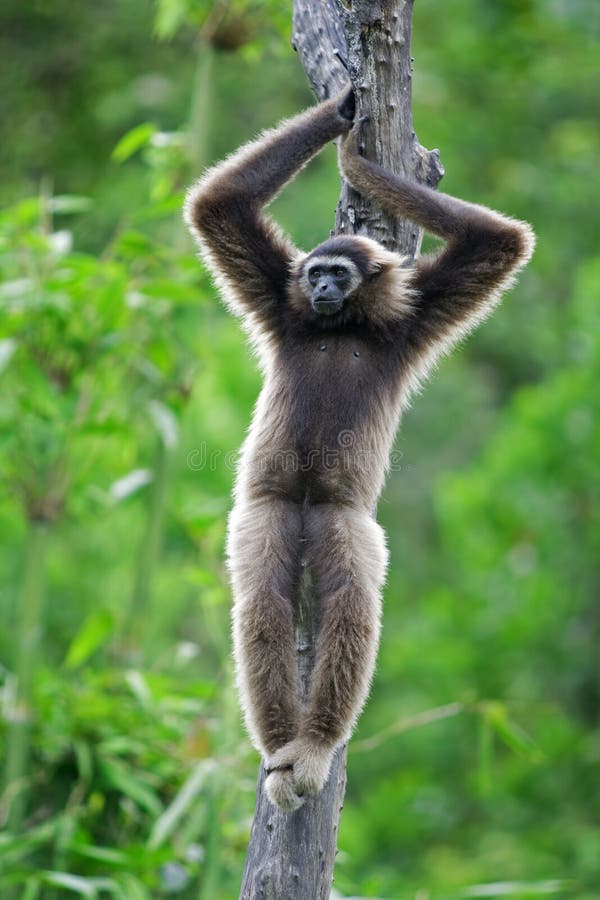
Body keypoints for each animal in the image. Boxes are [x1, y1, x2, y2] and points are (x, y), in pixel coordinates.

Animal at [184, 88, 535, 811]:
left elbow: (500, 242)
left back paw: (313, 746)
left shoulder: (413, 317)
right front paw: (342, 116)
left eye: (338, 275)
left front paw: (351, 151)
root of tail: (308, 510)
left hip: (339, 520)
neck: (343, 324)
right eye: (316, 272)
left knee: (349, 596)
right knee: (263, 600)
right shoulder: (279, 296)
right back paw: (286, 746)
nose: (320, 288)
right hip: (268, 510)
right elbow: (218, 206)